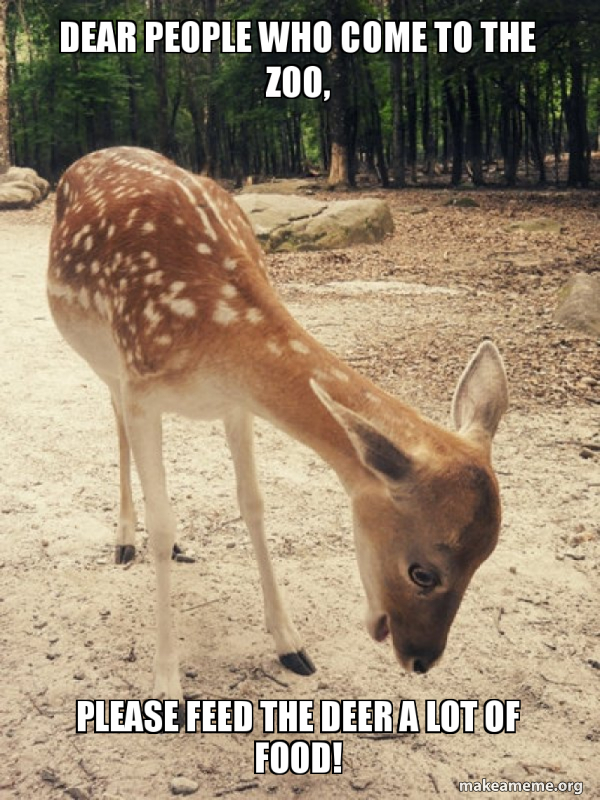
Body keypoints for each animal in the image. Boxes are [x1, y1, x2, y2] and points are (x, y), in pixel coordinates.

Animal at [47, 147, 508, 701]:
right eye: (422, 572)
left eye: (486, 559)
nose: (421, 659)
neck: (211, 334)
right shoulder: (141, 387)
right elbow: (160, 524)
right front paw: (165, 683)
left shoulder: (239, 404)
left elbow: (254, 504)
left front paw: (291, 644)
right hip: (103, 361)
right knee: (115, 421)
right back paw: (123, 539)